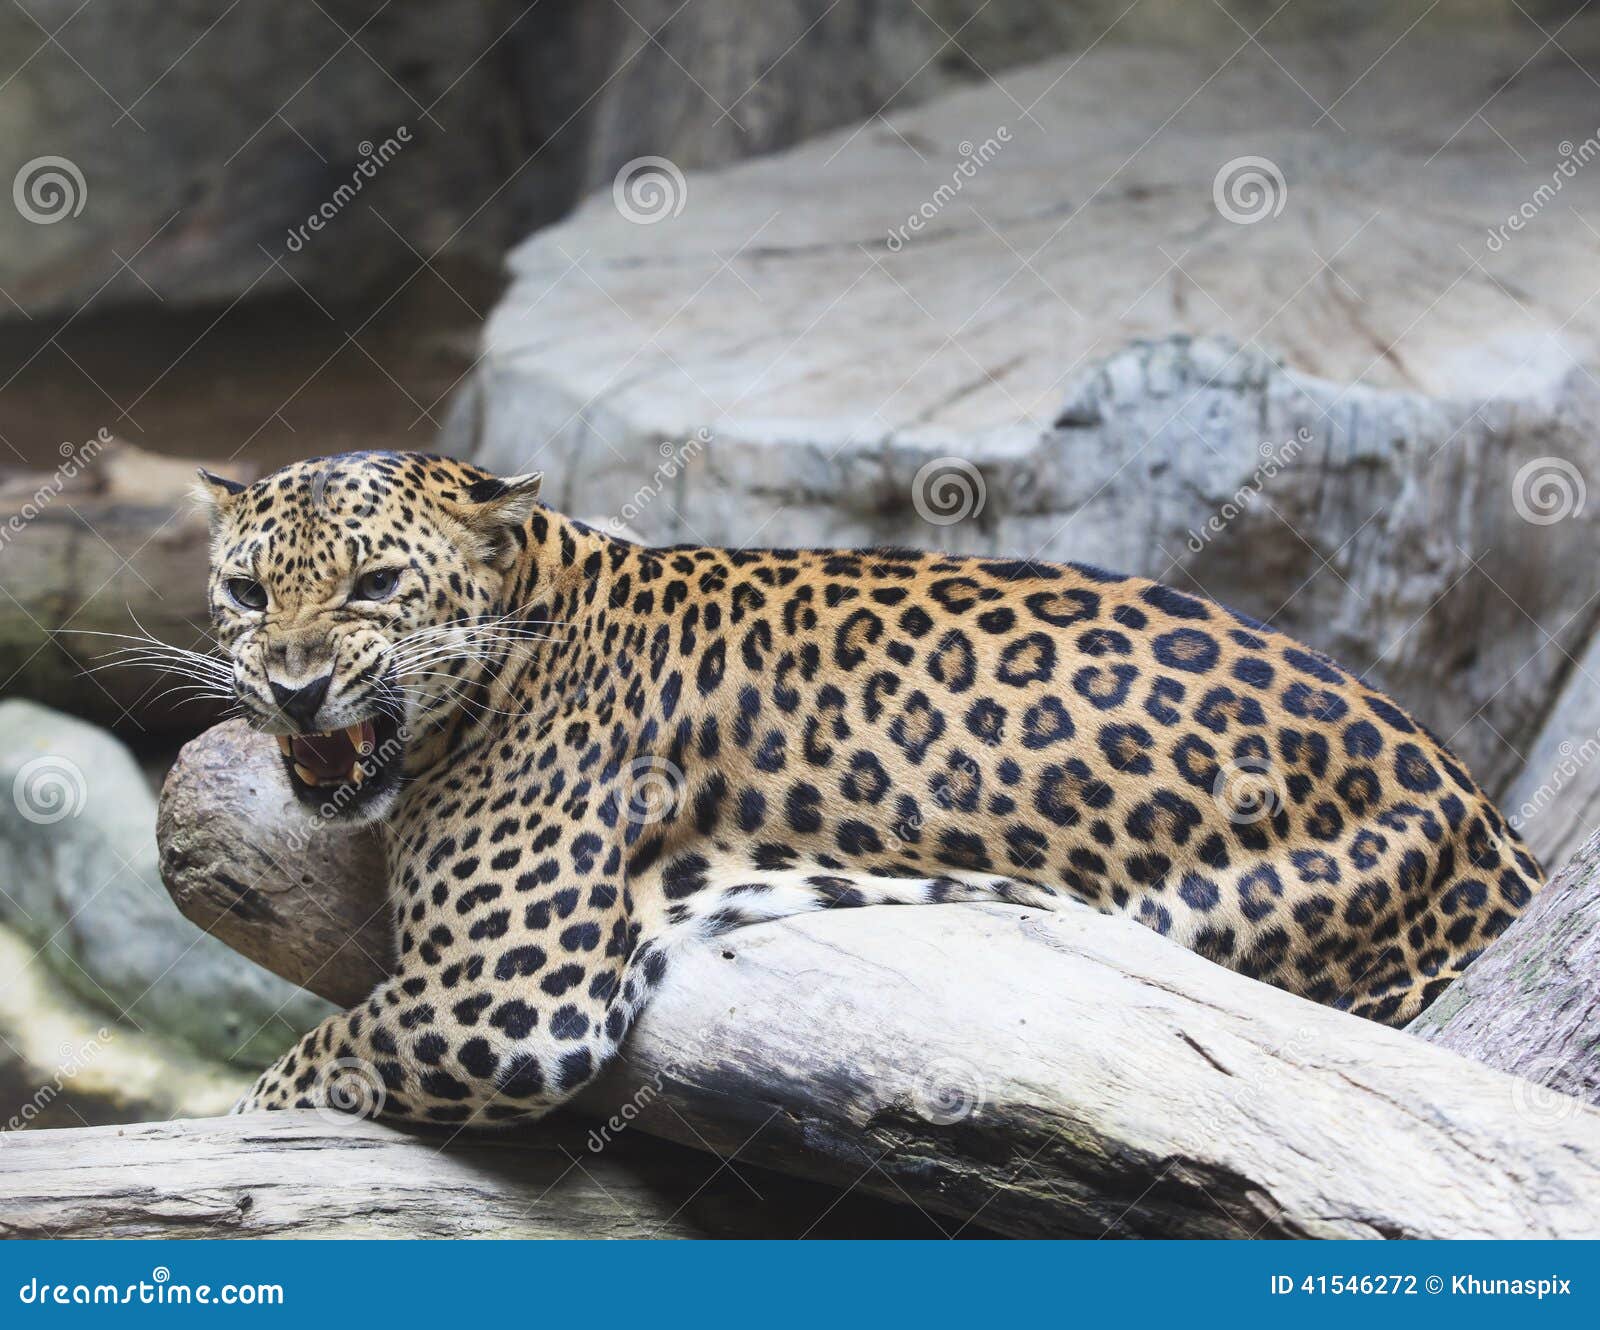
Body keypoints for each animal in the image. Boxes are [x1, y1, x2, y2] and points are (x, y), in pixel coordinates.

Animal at [193, 450, 1542, 1126]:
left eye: (374, 586)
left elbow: (297, 1071)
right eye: (247, 592)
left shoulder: (506, 996)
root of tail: (1498, 833)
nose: (293, 689)